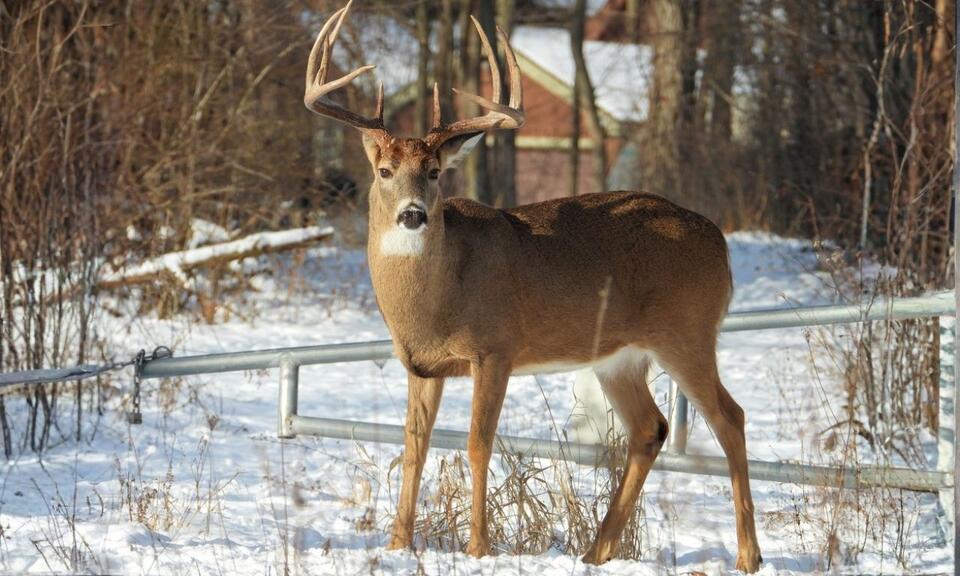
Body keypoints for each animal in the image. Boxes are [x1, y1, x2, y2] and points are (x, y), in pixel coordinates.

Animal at [303, 2, 762, 572]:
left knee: (730, 417)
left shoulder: (496, 348)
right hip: (620, 356)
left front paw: (478, 547)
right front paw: (396, 545)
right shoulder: (420, 364)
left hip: (687, 331)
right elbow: (414, 446)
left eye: (433, 172)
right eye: (385, 170)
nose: (413, 214)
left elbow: (478, 443)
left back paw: (748, 555)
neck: (437, 300)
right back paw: (595, 552)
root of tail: (720, 242)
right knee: (649, 429)